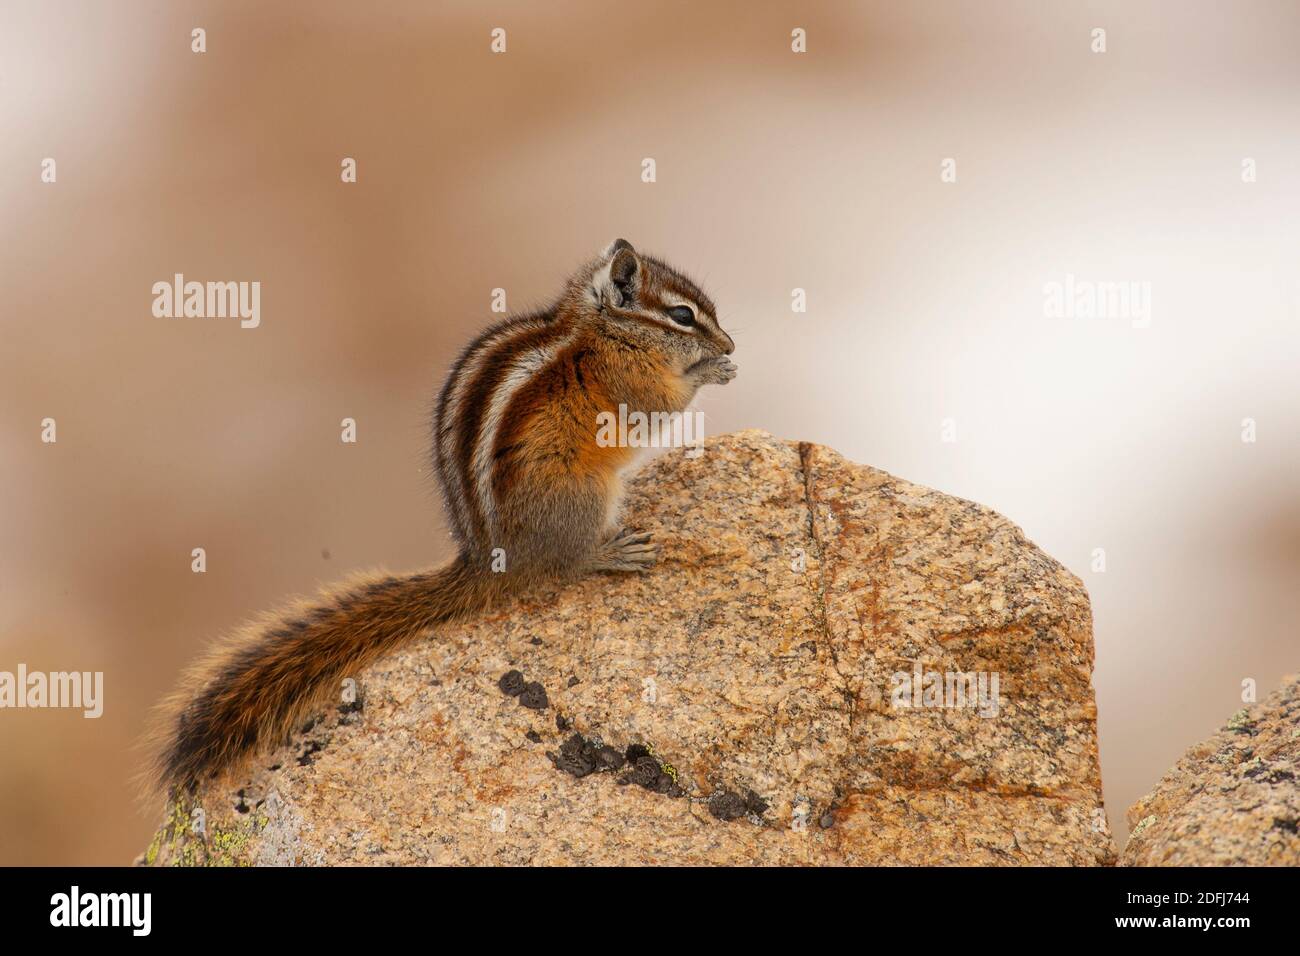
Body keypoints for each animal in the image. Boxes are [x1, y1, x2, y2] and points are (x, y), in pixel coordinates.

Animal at [147, 239, 736, 795]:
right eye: (682, 315)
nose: (730, 344)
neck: (598, 329)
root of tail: (490, 562)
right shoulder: (628, 382)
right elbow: (661, 406)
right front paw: (712, 369)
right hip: (586, 494)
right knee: (566, 564)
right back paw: (613, 551)